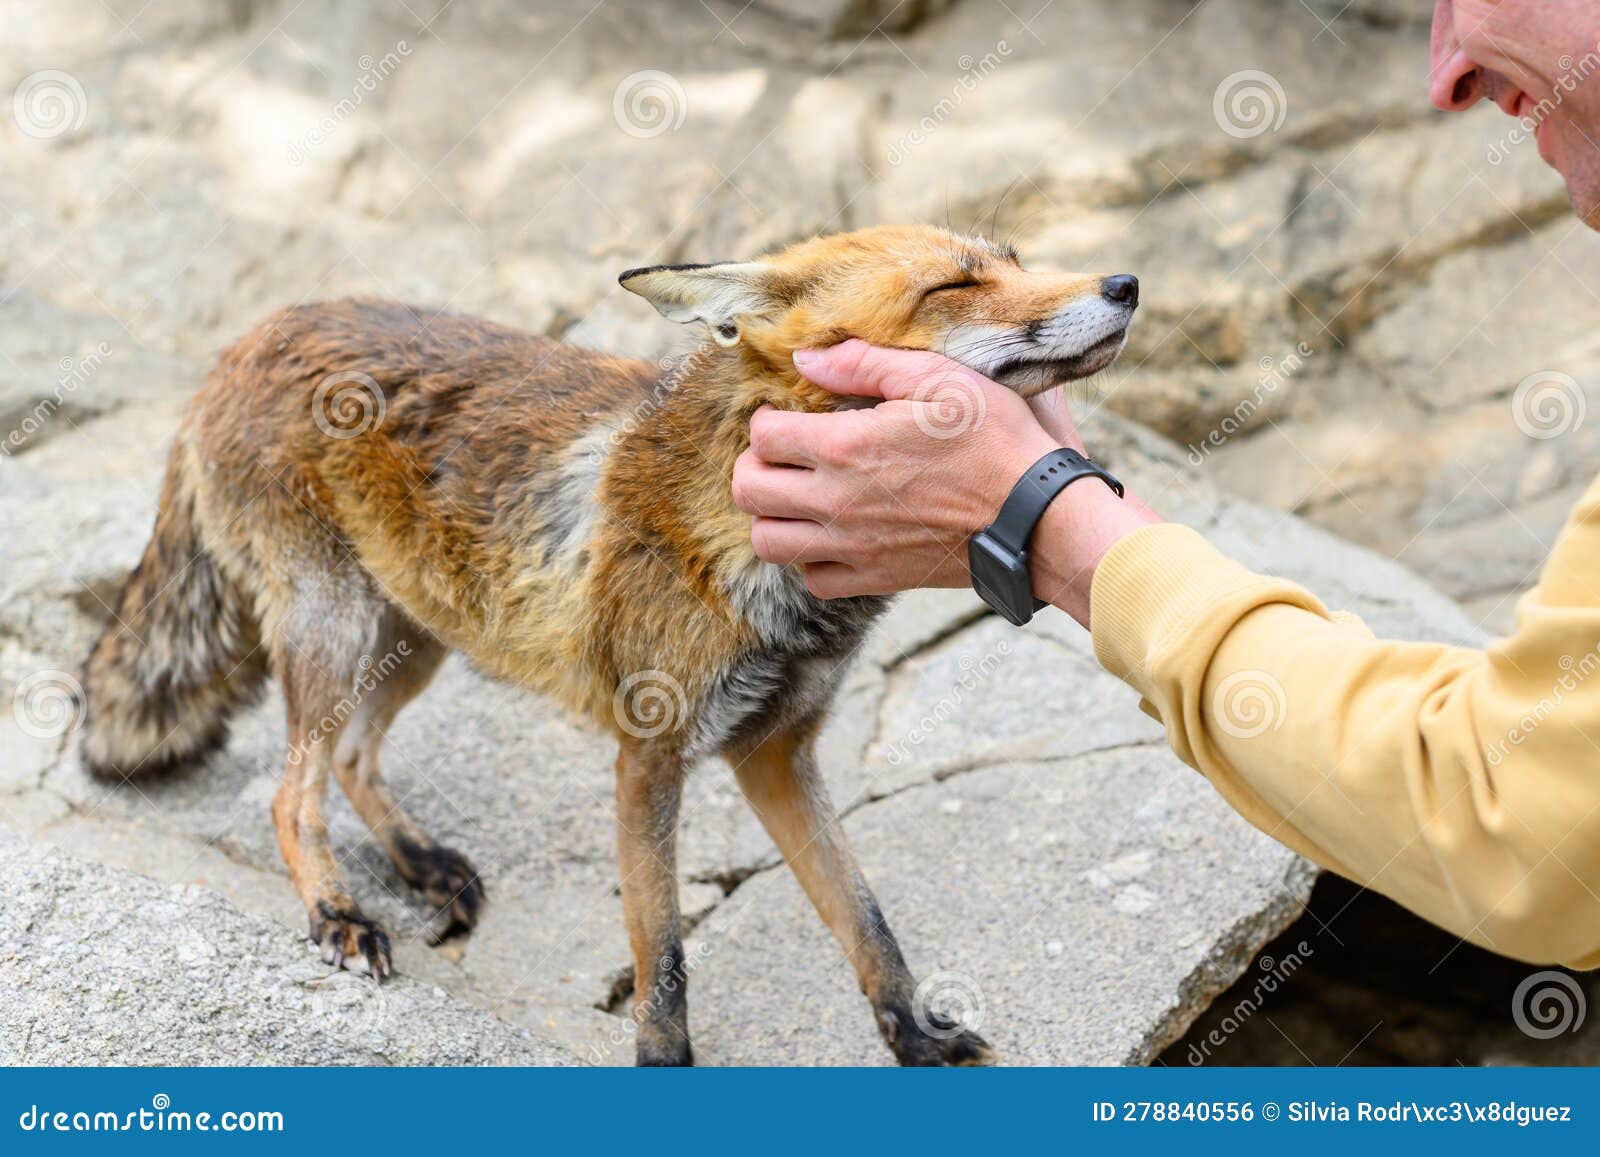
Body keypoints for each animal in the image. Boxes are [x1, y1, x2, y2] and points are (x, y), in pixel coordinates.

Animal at [81, 223, 1138, 1066]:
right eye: (953, 286)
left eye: (1016, 261)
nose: (1126, 283)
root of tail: (250, 336)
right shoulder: (650, 749)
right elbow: (661, 953)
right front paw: (663, 1064)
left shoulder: (777, 748)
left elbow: (866, 918)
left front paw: (916, 1036)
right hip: (335, 629)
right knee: (290, 792)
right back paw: (338, 913)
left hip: (418, 637)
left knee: (349, 757)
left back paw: (420, 861)